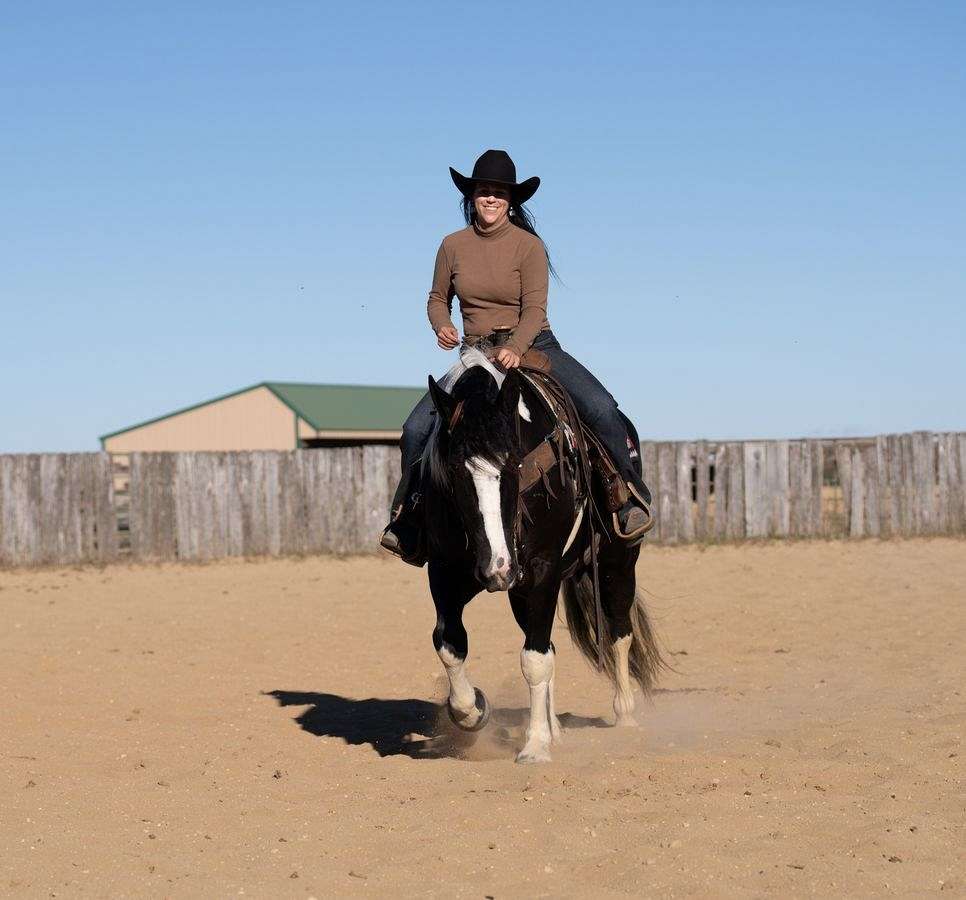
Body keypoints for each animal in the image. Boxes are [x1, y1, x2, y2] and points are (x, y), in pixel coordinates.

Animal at [421, 349, 664, 763]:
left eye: (514, 463)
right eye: (454, 470)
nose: (498, 569)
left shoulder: (542, 571)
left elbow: (534, 661)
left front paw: (534, 746)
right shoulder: (446, 573)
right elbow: (450, 644)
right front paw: (472, 711)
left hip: (616, 563)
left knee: (618, 633)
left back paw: (625, 717)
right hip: (522, 590)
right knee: (551, 644)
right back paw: (556, 729)